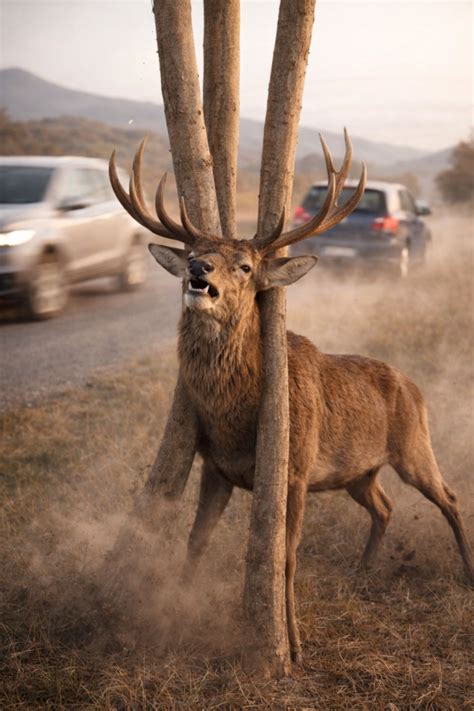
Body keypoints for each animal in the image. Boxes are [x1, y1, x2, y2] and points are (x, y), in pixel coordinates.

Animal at [109, 131, 473, 665]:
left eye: (244, 265)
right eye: (196, 249)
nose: (198, 268)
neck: (236, 419)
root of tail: (414, 386)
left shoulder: (295, 468)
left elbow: (286, 556)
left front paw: (295, 646)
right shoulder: (216, 467)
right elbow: (196, 540)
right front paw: (177, 604)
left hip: (413, 444)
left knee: (448, 496)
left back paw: (467, 571)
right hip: (358, 473)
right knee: (384, 505)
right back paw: (363, 570)